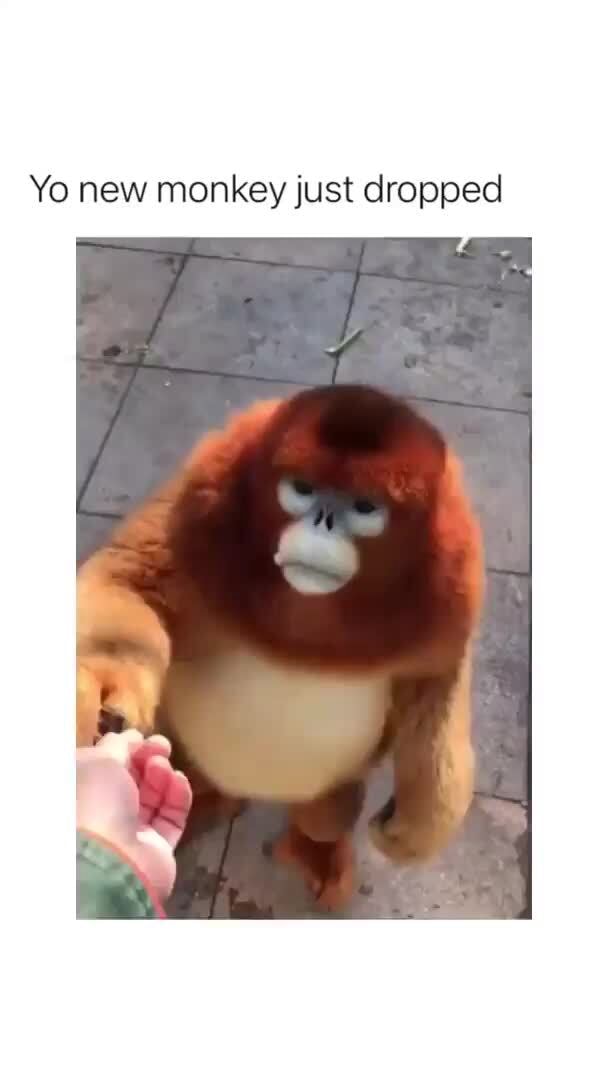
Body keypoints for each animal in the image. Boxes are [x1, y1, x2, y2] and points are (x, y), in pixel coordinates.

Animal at [76, 384, 484, 910]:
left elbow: (438, 689)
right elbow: (128, 582)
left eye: (364, 508)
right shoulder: (206, 494)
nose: (323, 523)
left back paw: (315, 849)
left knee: (325, 815)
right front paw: (105, 690)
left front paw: (419, 828)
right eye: (303, 489)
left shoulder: (452, 576)